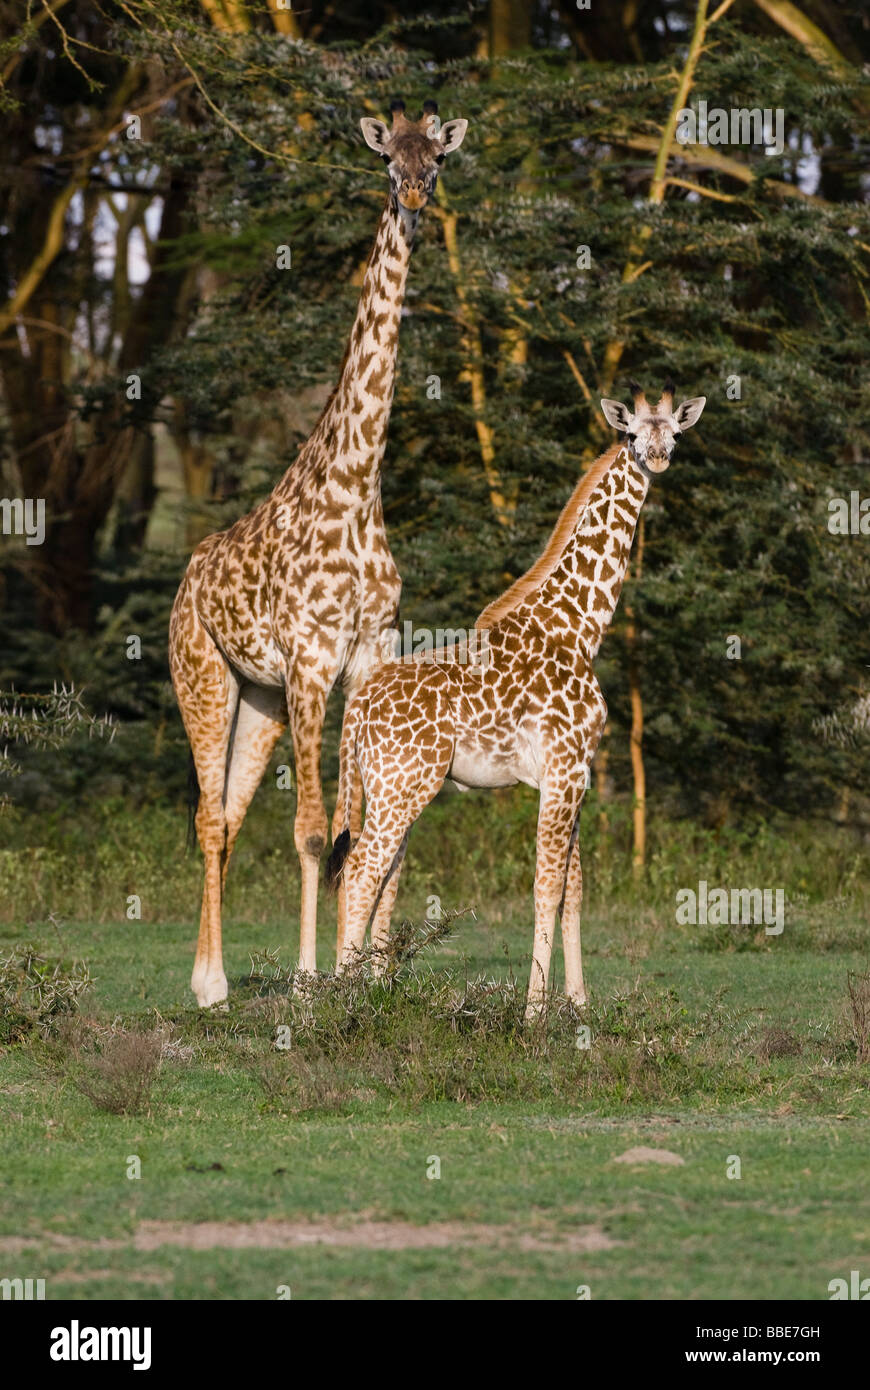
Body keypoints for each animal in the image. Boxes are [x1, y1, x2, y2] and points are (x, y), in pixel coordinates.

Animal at [169, 100, 469, 1007]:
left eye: (438, 159)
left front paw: (365, 974)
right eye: (387, 162)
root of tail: (187, 578)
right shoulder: (309, 657)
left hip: (259, 698)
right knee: (209, 813)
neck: (358, 479)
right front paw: (309, 984)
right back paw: (210, 986)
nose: (415, 195)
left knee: (229, 815)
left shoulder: (369, 653)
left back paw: (213, 977)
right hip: (204, 676)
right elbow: (308, 830)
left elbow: (359, 827)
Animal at [326, 383, 706, 1017]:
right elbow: (546, 887)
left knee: (378, 874)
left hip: (384, 788)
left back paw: (365, 994)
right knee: (360, 871)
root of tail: (355, 711)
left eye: (674, 434)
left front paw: (577, 1005)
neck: (580, 627)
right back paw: (336, 1007)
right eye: (631, 434)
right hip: (404, 784)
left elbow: (574, 889)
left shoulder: (574, 774)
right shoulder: (563, 770)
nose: (656, 459)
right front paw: (533, 1012)